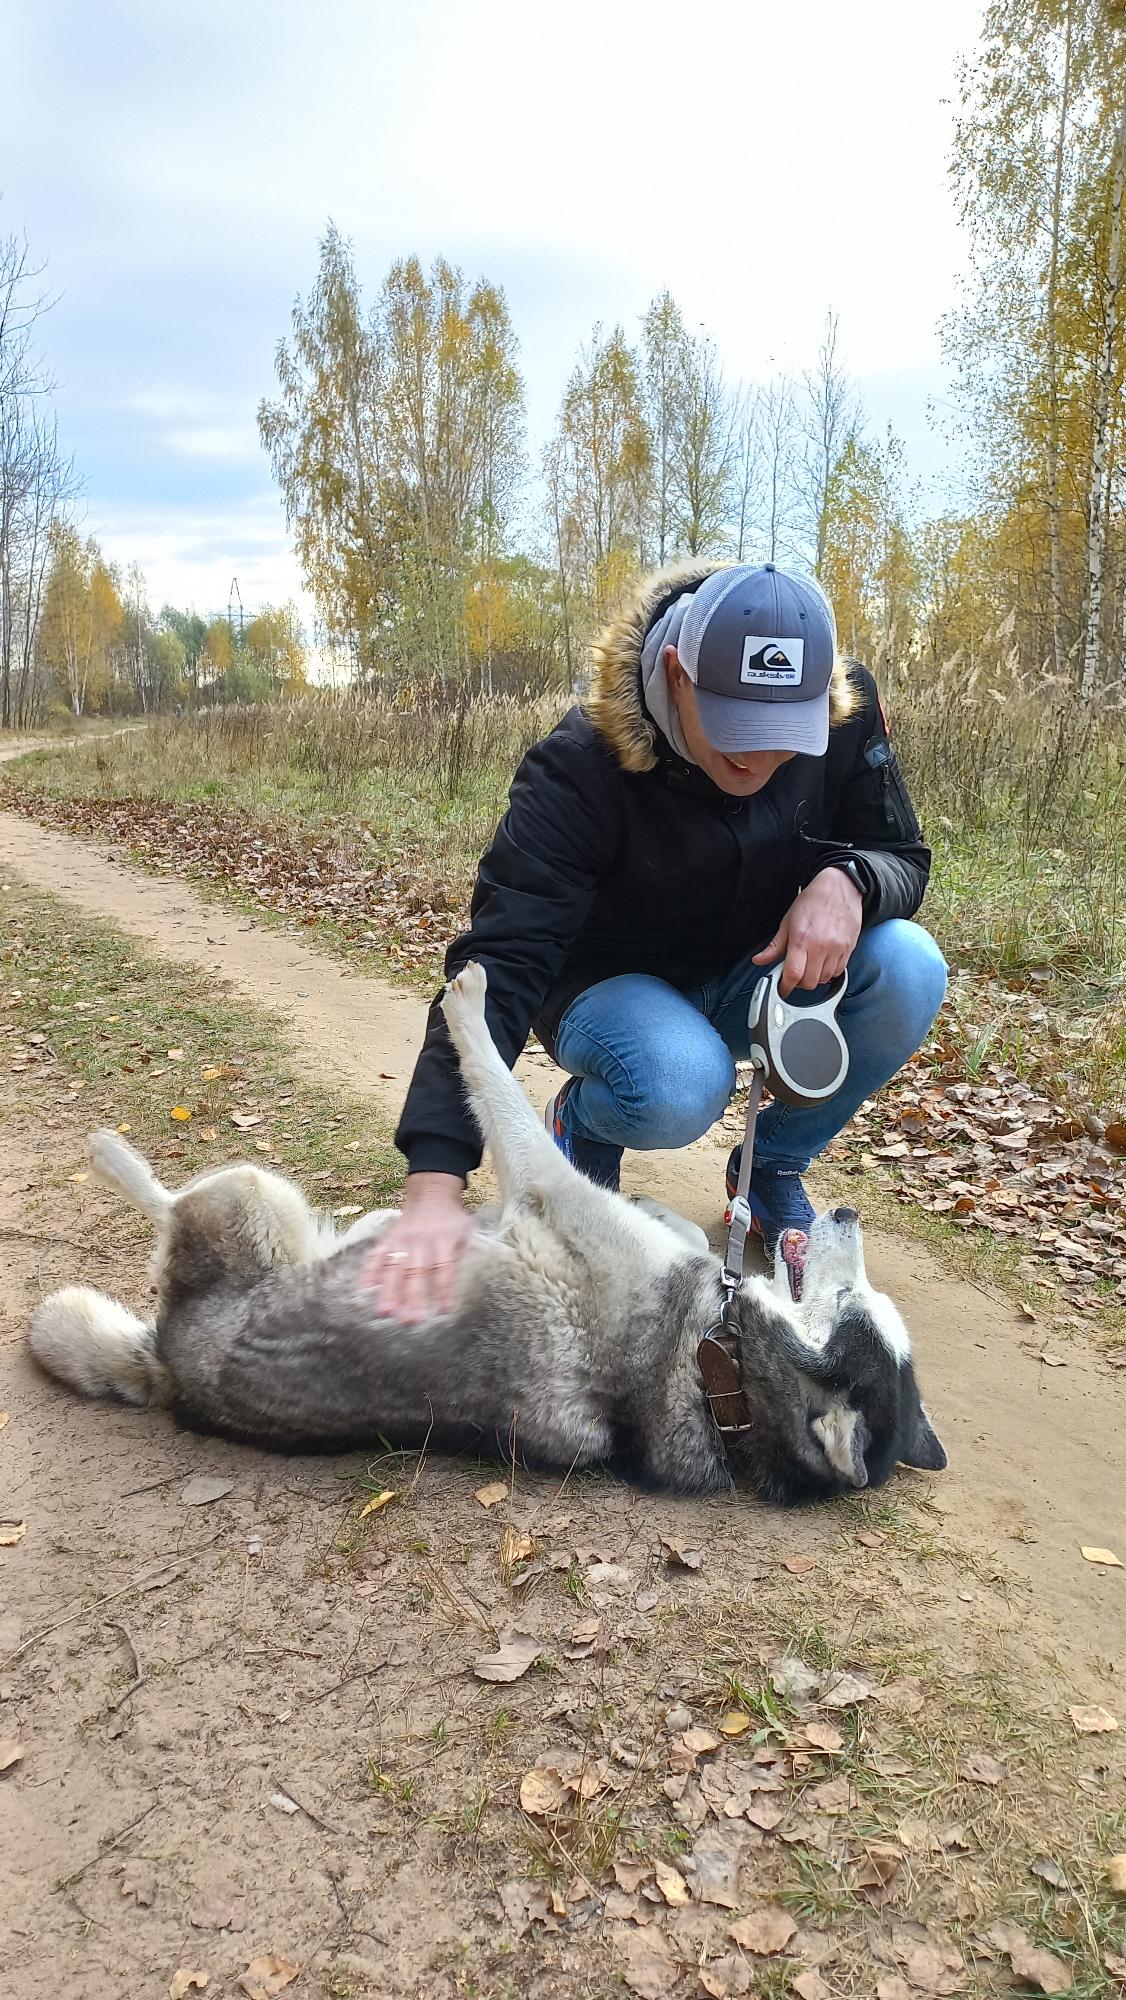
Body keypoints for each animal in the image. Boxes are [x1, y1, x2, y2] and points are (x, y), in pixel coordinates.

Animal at [26, 956, 948, 1504]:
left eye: (850, 1296)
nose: (843, 1214)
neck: (714, 1359)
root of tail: (168, 1369)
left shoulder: (546, 1180)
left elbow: (498, 1090)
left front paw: (468, 1002)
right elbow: (680, 1227)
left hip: (251, 1194)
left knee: (170, 1202)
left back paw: (111, 1156)